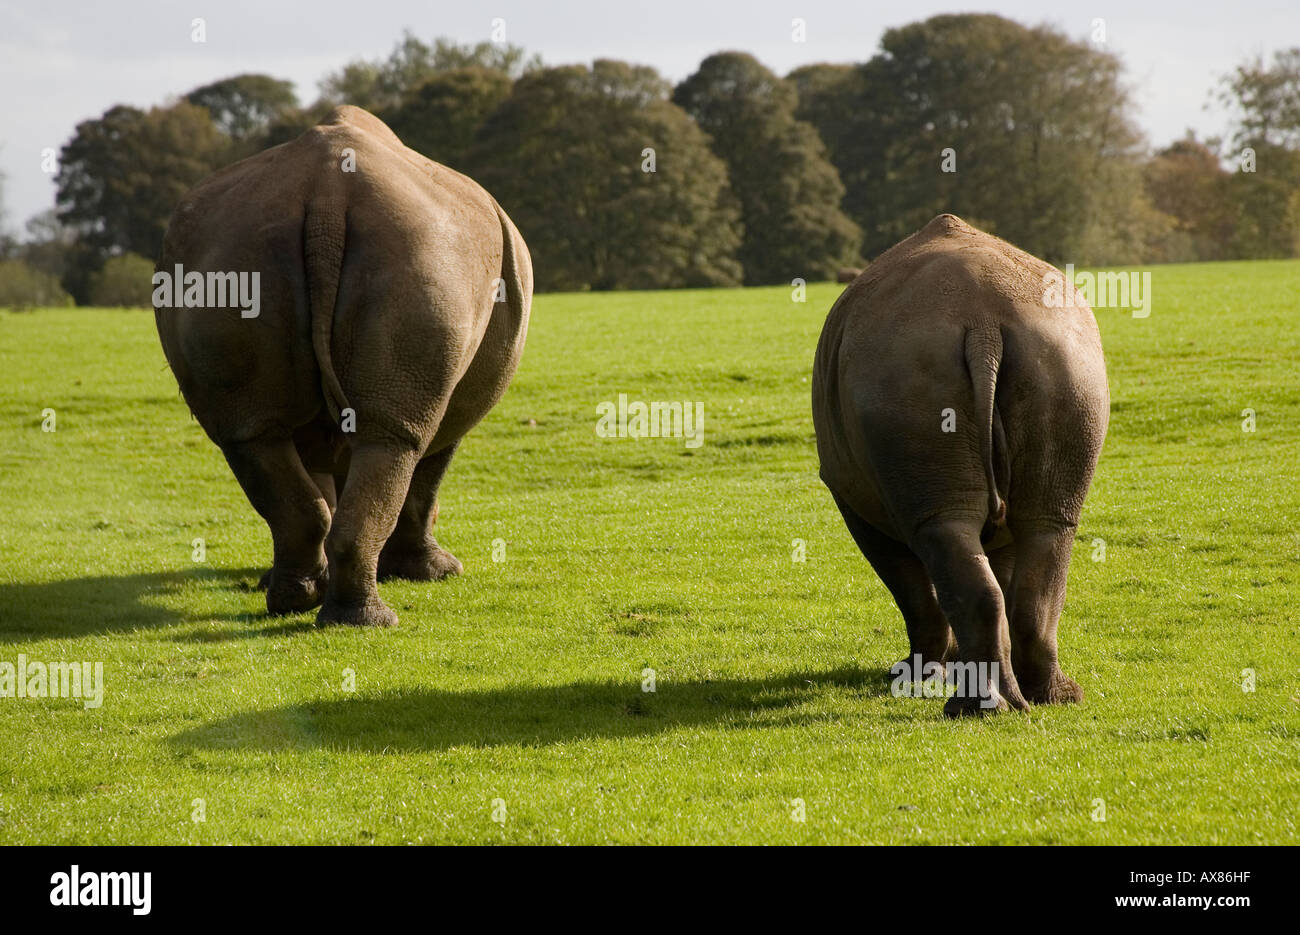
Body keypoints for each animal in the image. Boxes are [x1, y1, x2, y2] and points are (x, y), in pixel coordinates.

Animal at [155, 106, 532, 627]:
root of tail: (328, 194)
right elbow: (426, 477)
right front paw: (436, 574)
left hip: (231, 252)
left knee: (251, 435)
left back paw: (296, 600)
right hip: (425, 253)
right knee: (393, 439)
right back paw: (367, 619)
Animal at [812, 214, 1108, 715]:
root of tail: (983, 320)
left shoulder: (852, 501)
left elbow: (911, 590)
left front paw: (915, 675)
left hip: (904, 371)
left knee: (942, 540)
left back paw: (970, 708)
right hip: (1065, 361)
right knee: (1050, 529)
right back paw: (1049, 699)